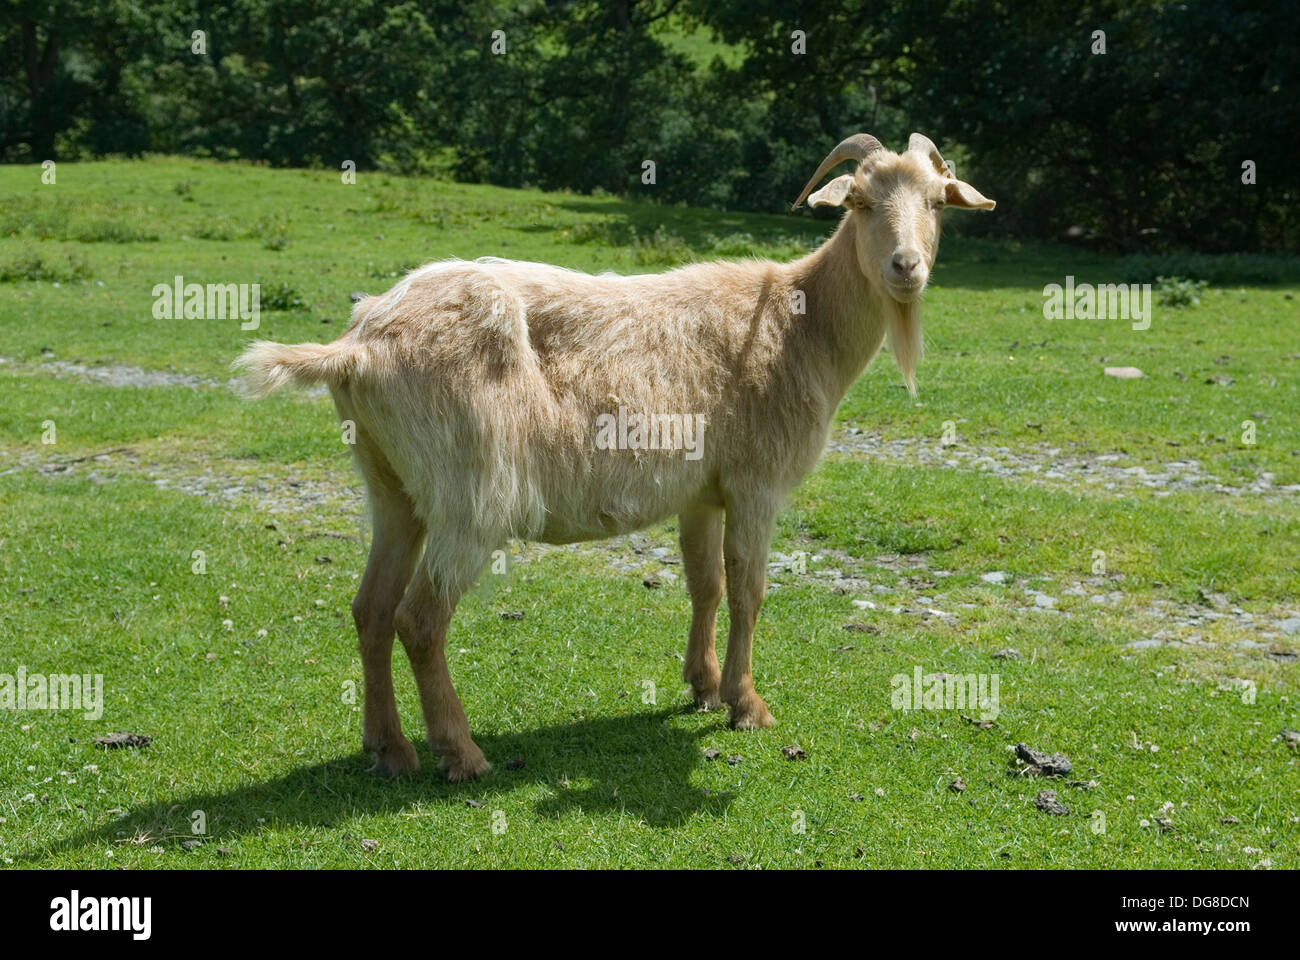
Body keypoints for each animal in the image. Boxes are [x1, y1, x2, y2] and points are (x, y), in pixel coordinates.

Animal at [235, 132, 994, 781]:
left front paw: (703, 685)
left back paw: (389, 749)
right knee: (419, 620)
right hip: (471, 493)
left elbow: (706, 583)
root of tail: (355, 346)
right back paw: (462, 754)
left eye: (936, 202)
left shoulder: (702, 490)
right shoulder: (757, 483)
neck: (799, 320)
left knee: (370, 608)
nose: (905, 267)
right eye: (860, 200)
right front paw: (748, 705)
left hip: (391, 487)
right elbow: (748, 589)